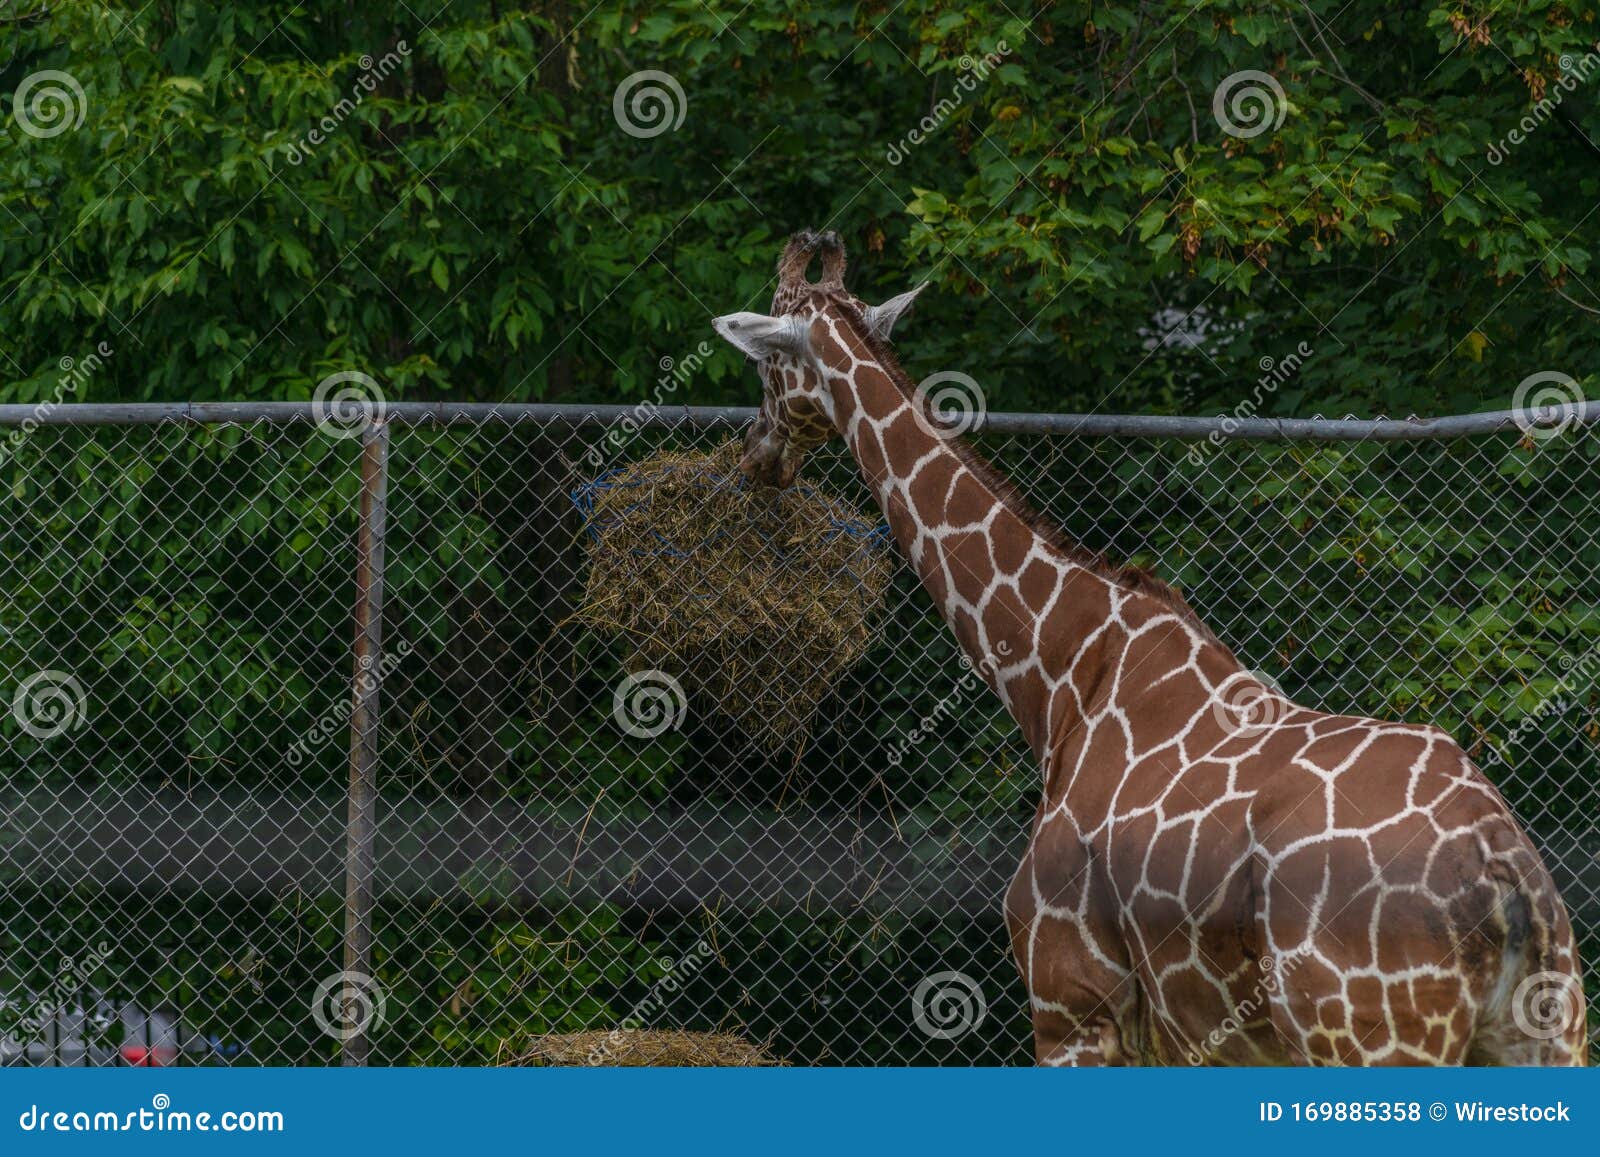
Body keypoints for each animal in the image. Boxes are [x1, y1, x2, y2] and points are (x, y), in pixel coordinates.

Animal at [710, 230, 1589, 1066]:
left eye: (766, 361)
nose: (759, 453)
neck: (1062, 678)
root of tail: (1503, 869)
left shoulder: (1073, 1002)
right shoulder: (1192, 1037)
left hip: (1370, 1035)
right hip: (1544, 1026)